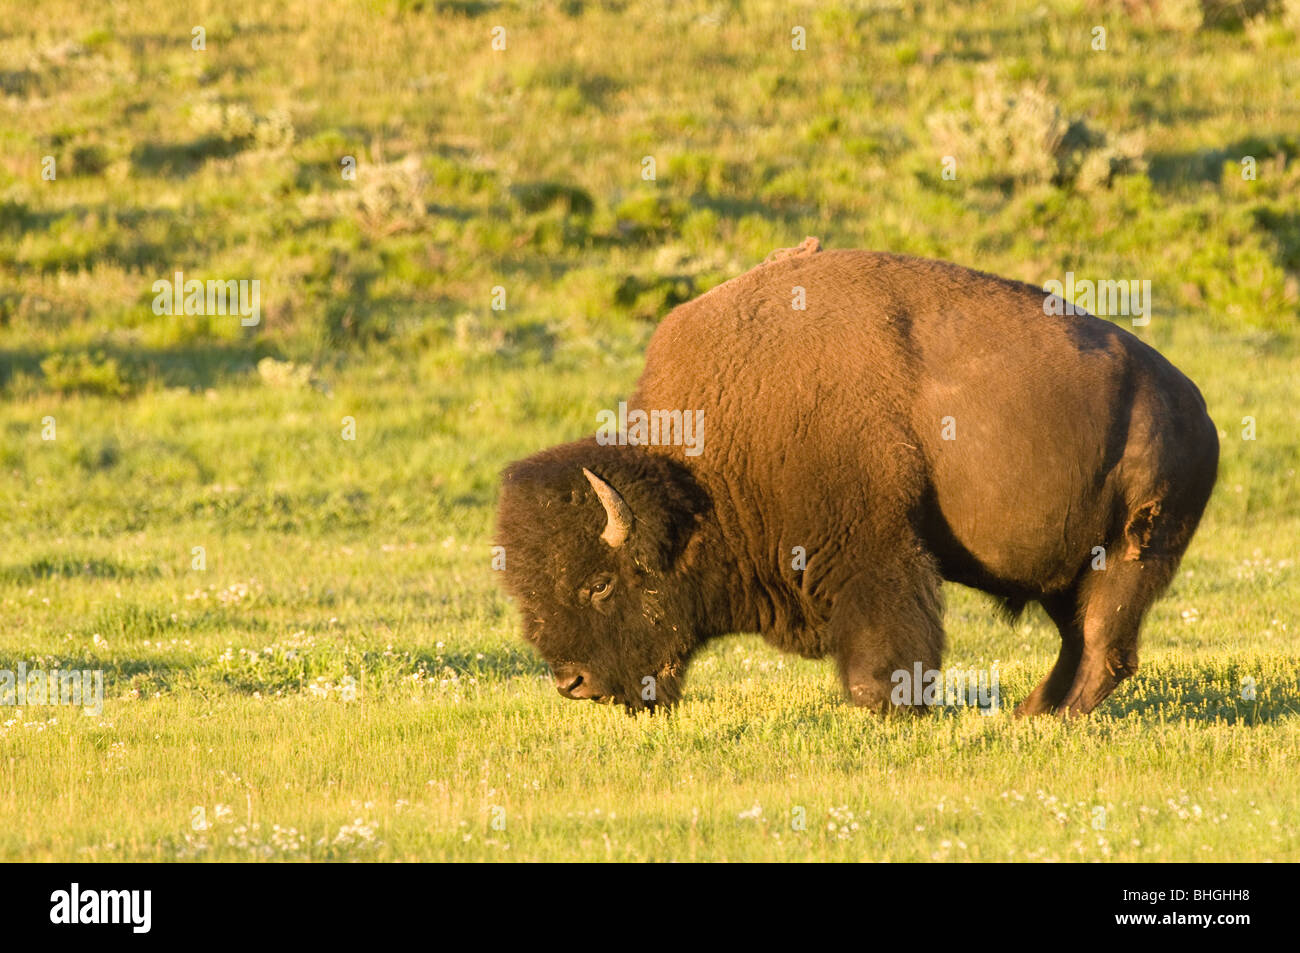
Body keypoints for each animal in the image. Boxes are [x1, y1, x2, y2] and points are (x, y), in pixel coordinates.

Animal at [496, 242, 1218, 716]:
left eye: (598, 583)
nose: (572, 682)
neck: (703, 476)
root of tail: (1195, 408)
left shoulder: (869, 547)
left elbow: (884, 645)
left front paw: (887, 709)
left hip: (1133, 553)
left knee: (1103, 649)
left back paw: (1047, 721)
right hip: (1071, 573)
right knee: (1080, 644)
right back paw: (1029, 714)